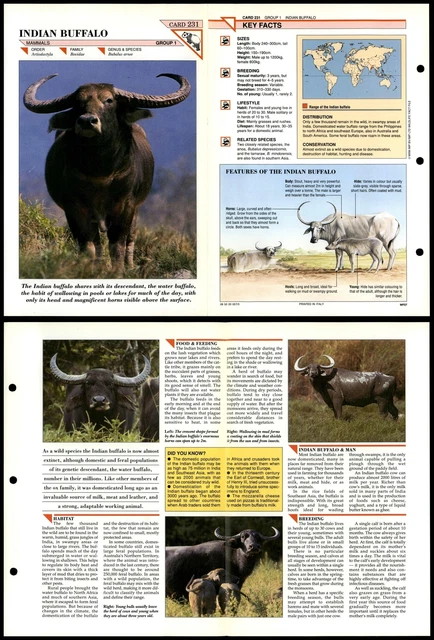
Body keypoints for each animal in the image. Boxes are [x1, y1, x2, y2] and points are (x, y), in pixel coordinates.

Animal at [23, 73, 191, 271]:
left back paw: (130, 266)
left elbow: (117, 244)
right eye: (79, 102)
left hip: (136, 209)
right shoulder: (74, 208)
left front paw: (118, 271)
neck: (100, 171)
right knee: (97, 243)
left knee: (130, 238)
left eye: (109, 100)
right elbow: (88, 246)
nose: (87, 121)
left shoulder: (125, 205)